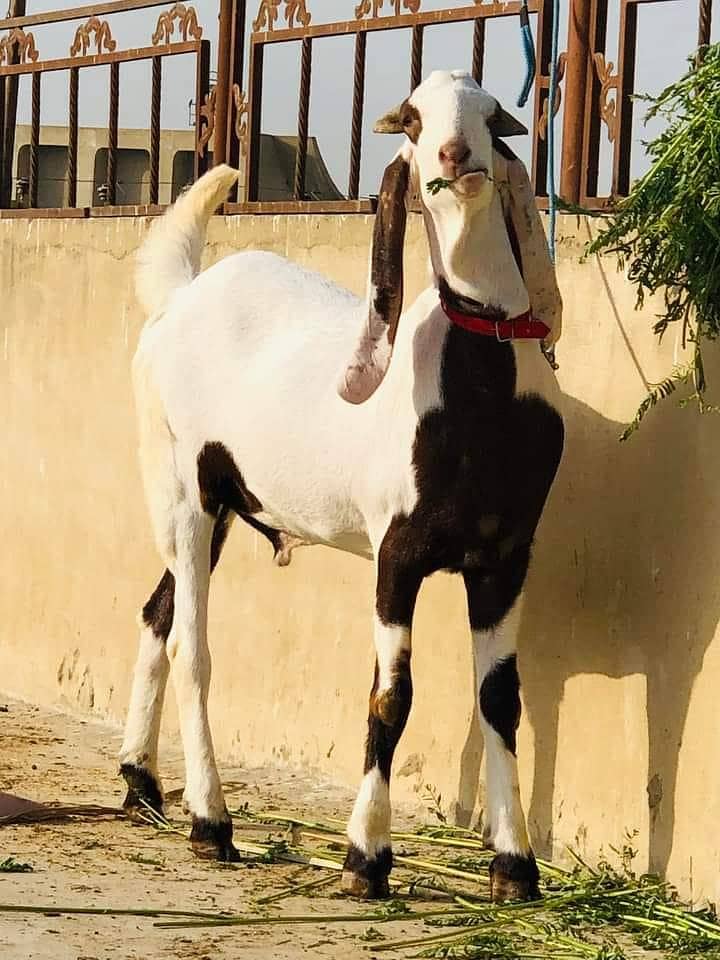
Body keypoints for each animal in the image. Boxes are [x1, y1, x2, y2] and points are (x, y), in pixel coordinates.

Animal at [119, 70, 564, 902]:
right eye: (413, 118)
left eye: (494, 116)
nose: (456, 157)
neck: (479, 388)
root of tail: (180, 297)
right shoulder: (398, 552)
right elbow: (392, 697)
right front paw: (366, 856)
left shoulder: (506, 558)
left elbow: (499, 699)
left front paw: (515, 867)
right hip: (183, 491)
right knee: (193, 644)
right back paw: (210, 821)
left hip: (221, 506)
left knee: (159, 612)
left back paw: (139, 780)